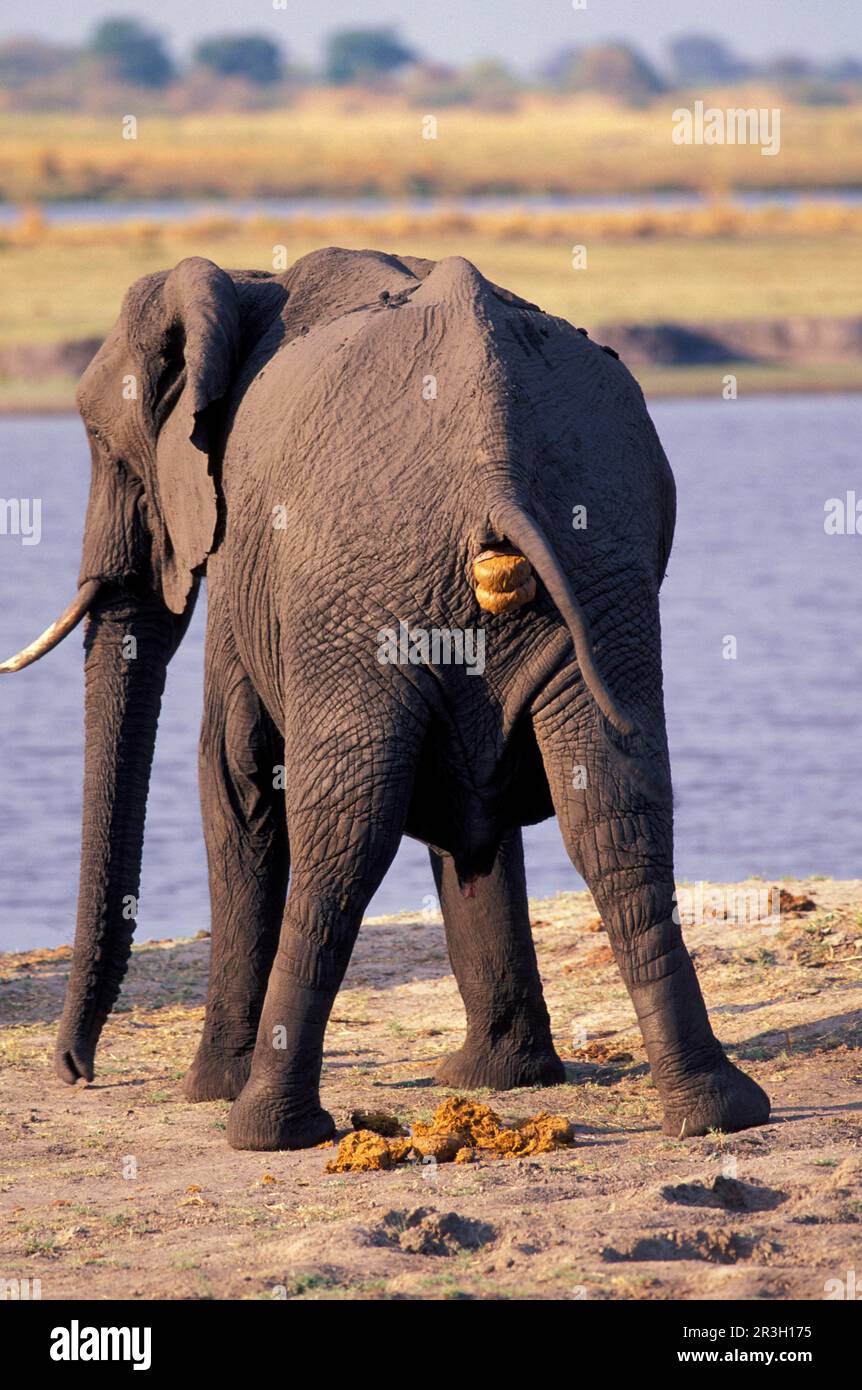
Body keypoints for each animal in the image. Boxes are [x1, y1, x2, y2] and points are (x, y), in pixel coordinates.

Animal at [1, 247, 770, 1150]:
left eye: (99, 441)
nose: (75, 1072)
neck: (248, 284)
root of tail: (494, 459)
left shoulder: (244, 554)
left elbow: (238, 774)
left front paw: (206, 1090)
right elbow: (473, 814)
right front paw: (496, 1080)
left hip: (359, 588)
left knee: (344, 830)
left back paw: (266, 1128)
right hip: (598, 569)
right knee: (616, 808)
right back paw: (716, 1110)